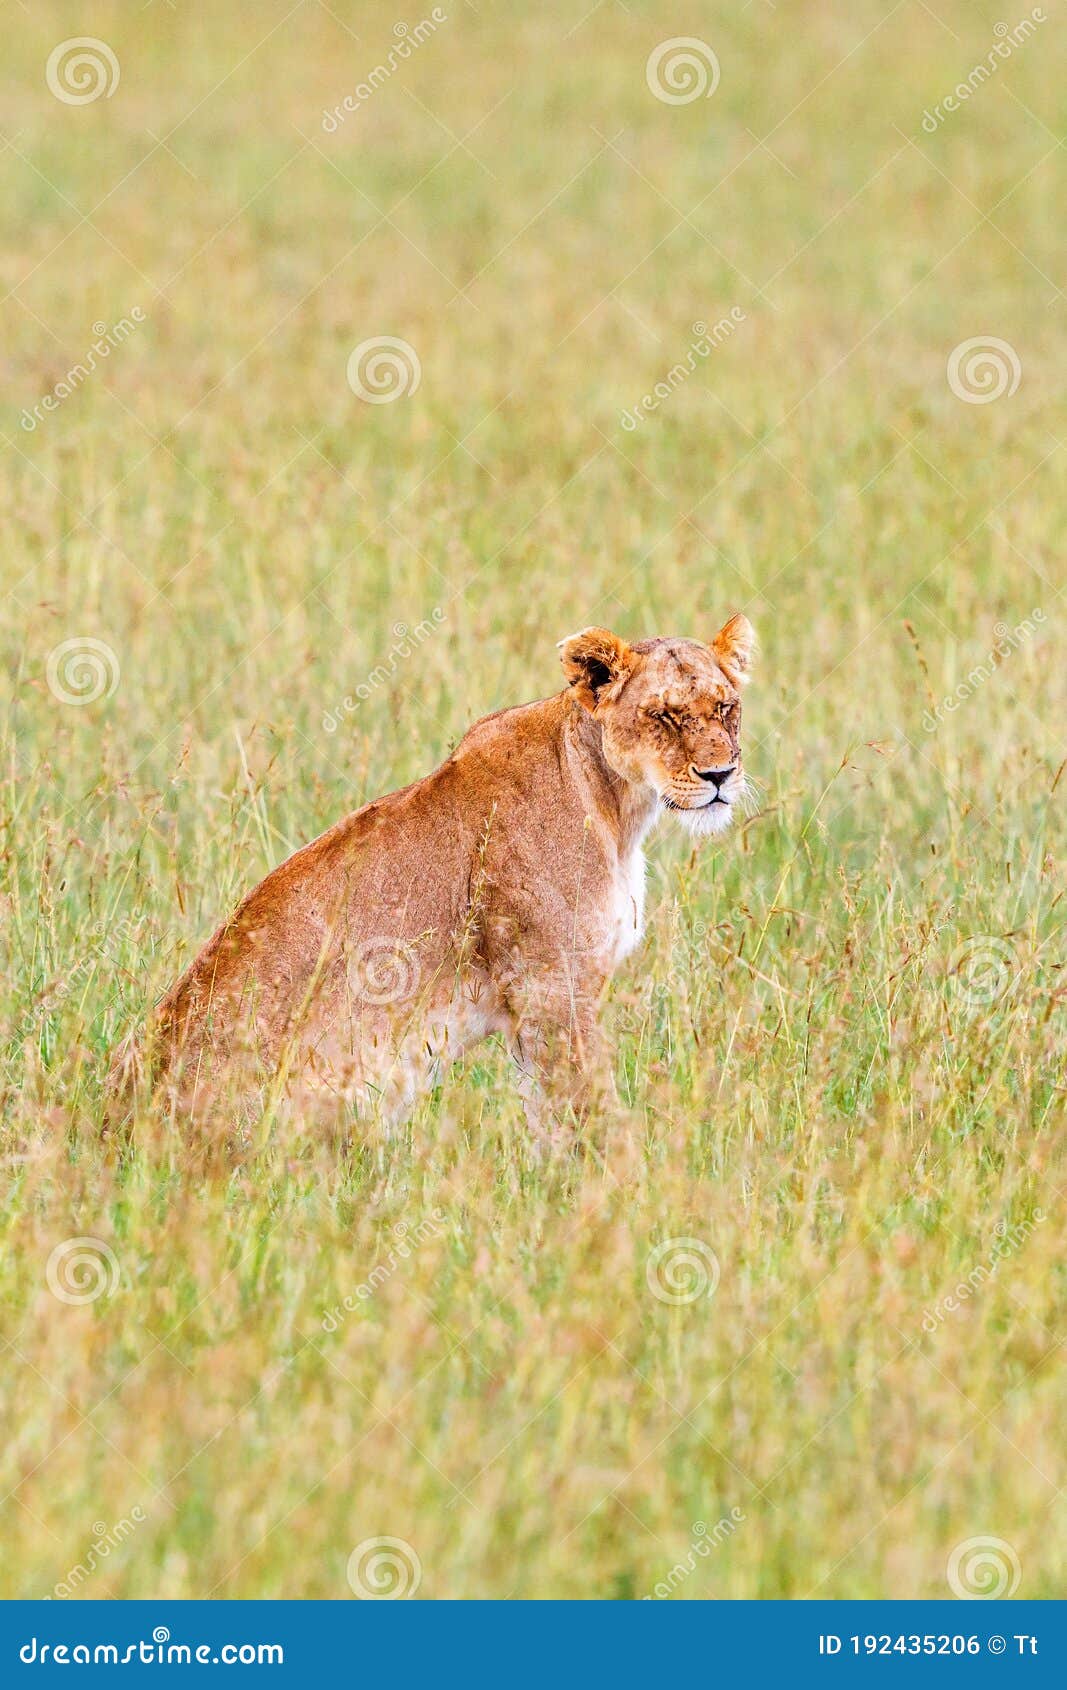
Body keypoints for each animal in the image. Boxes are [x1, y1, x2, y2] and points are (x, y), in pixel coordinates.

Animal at [110, 615, 754, 1135]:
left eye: (725, 707)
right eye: (663, 715)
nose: (720, 775)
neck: (619, 807)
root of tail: (115, 1124)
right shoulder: (554, 989)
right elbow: (587, 1113)